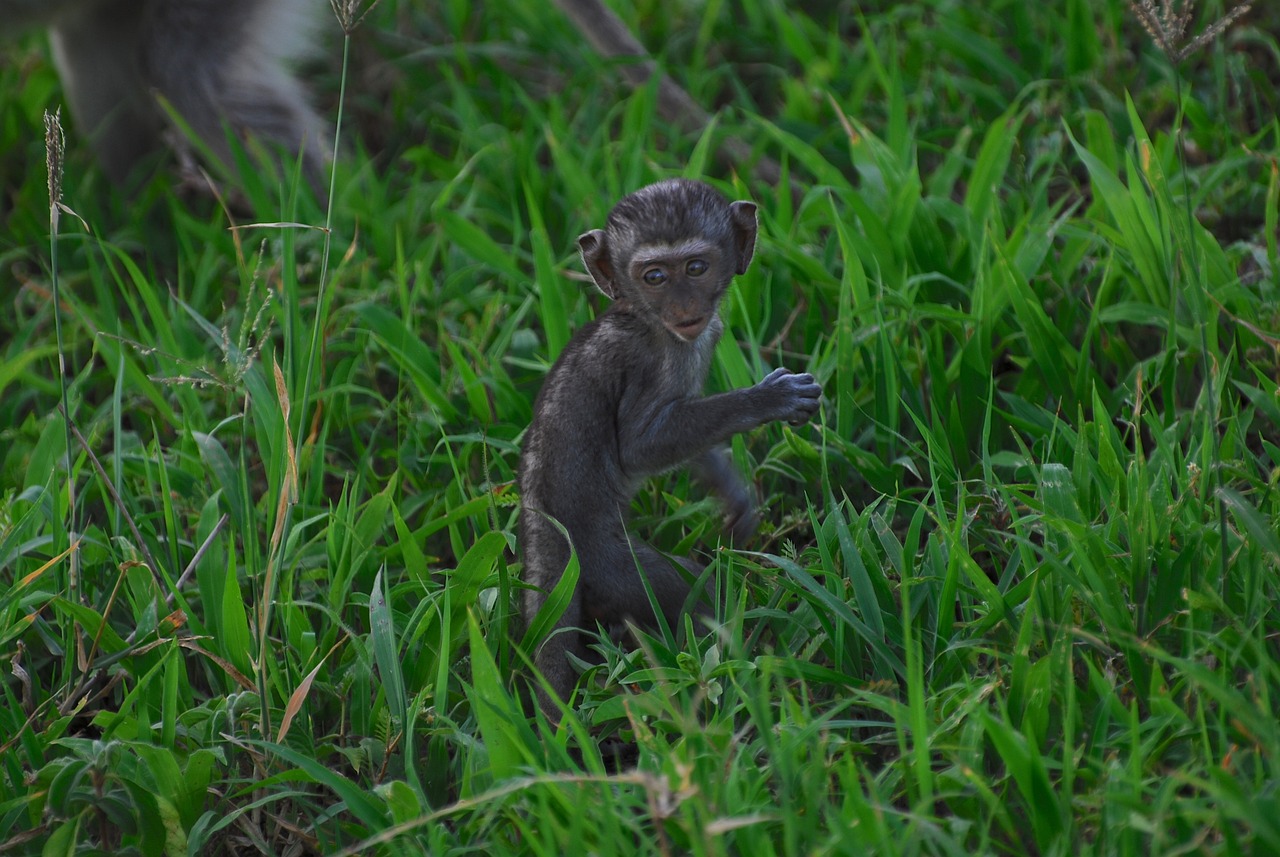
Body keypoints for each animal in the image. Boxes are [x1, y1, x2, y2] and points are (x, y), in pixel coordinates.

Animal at [519, 178, 821, 718]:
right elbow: (641, 447)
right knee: (695, 592)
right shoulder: (649, 361)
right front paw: (770, 398)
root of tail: (541, 524)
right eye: (655, 276)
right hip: (609, 563)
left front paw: (736, 497)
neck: (643, 318)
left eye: (696, 268)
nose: (684, 308)